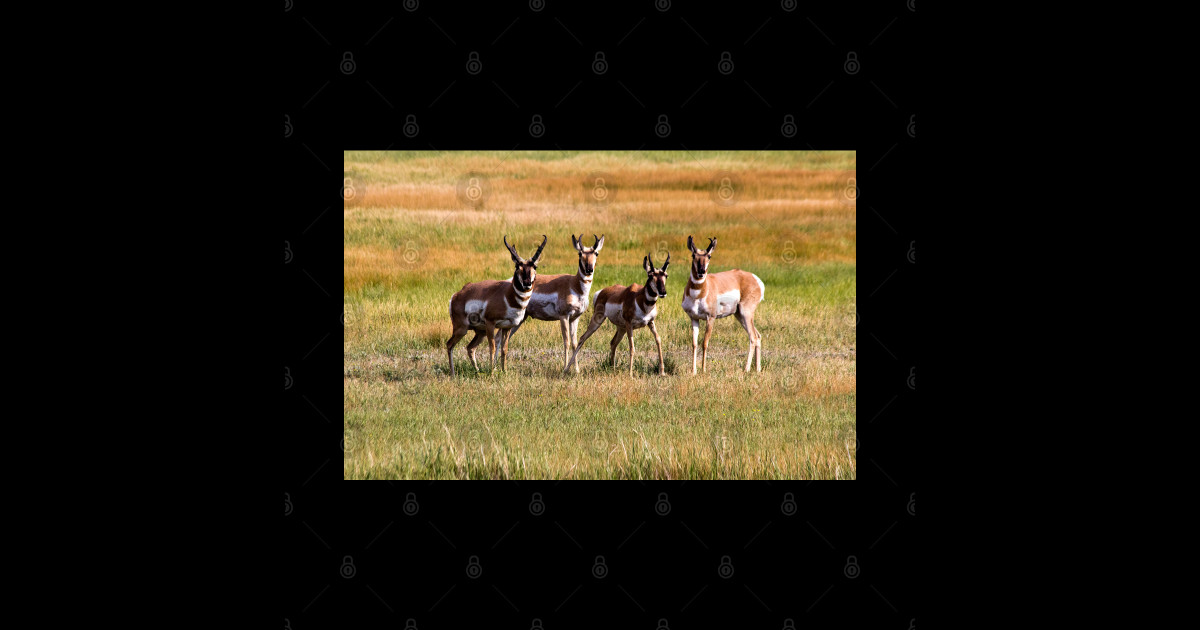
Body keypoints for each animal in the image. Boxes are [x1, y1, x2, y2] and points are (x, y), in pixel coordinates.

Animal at [446, 235, 546, 376]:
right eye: (517, 266)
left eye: (535, 267)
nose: (527, 283)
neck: (508, 296)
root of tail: (457, 294)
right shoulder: (491, 324)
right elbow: (492, 348)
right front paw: (492, 373)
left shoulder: (507, 327)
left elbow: (504, 349)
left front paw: (504, 371)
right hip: (462, 329)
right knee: (449, 345)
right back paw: (453, 374)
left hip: (480, 332)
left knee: (470, 348)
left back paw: (477, 371)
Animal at [506, 234, 605, 372]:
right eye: (580, 253)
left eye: (596, 253)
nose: (589, 269)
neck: (574, 285)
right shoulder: (564, 316)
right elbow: (566, 342)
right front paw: (565, 369)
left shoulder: (575, 318)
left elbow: (575, 342)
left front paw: (577, 370)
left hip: (520, 319)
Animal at [681, 236, 765, 374]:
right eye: (693, 255)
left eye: (709, 256)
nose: (701, 272)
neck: (698, 293)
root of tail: (755, 279)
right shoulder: (694, 318)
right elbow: (694, 343)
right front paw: (693, 371)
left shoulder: (711, 318)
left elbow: (705, 343)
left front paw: (703, 370)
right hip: (739, 315)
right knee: (758, 336)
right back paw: (757, 369)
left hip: (746, 313)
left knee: (753, 337)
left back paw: (746, 369)